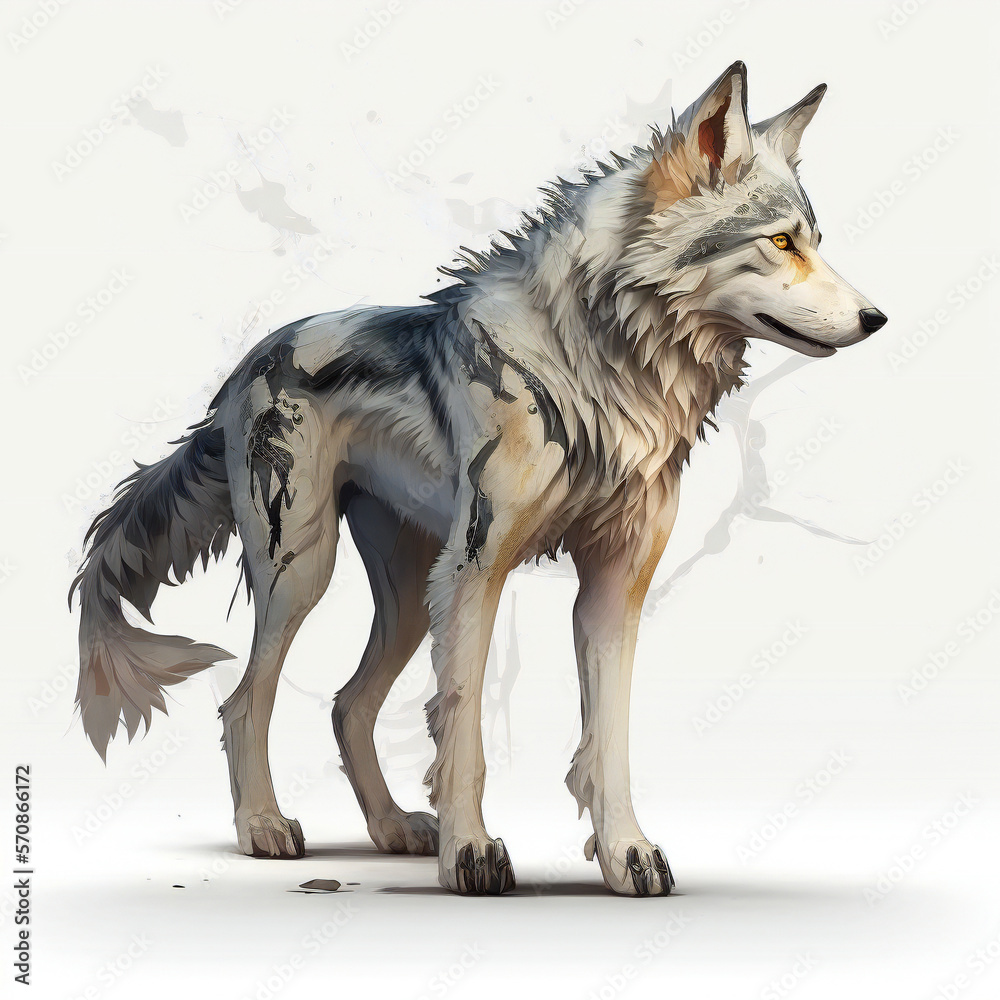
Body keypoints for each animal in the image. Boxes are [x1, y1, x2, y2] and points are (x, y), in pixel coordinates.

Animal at [71, 62, 885, 896]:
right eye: (780, 242)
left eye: (816, 242)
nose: (877, 318)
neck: (596, 370)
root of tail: (245, 366)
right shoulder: (474, 571)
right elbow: (463, 723)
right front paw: (470, 852)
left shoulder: (613, 588)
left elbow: (609, 740)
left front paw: (625, 852)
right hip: (304, 573)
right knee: (244, 703)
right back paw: (264, 826)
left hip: (403, 596)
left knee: (347, 705)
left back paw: (393, 828)